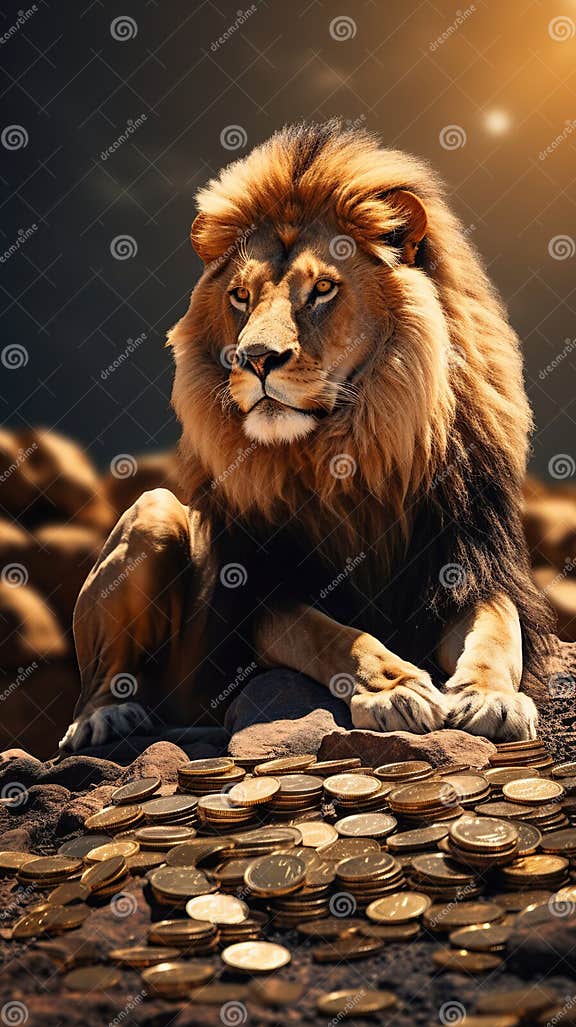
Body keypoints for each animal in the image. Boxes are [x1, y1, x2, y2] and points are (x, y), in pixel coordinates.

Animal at [60, 120, 554, 753]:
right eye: (240, 296)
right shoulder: (263, 594)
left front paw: (489, 697)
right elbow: (334, 635)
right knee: (98, 680)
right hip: (154, 512)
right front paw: (396, 689)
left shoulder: (469, 562)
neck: (351, 448)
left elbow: (498, 629)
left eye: (321, 288)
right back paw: (105, 717)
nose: (255, 358)